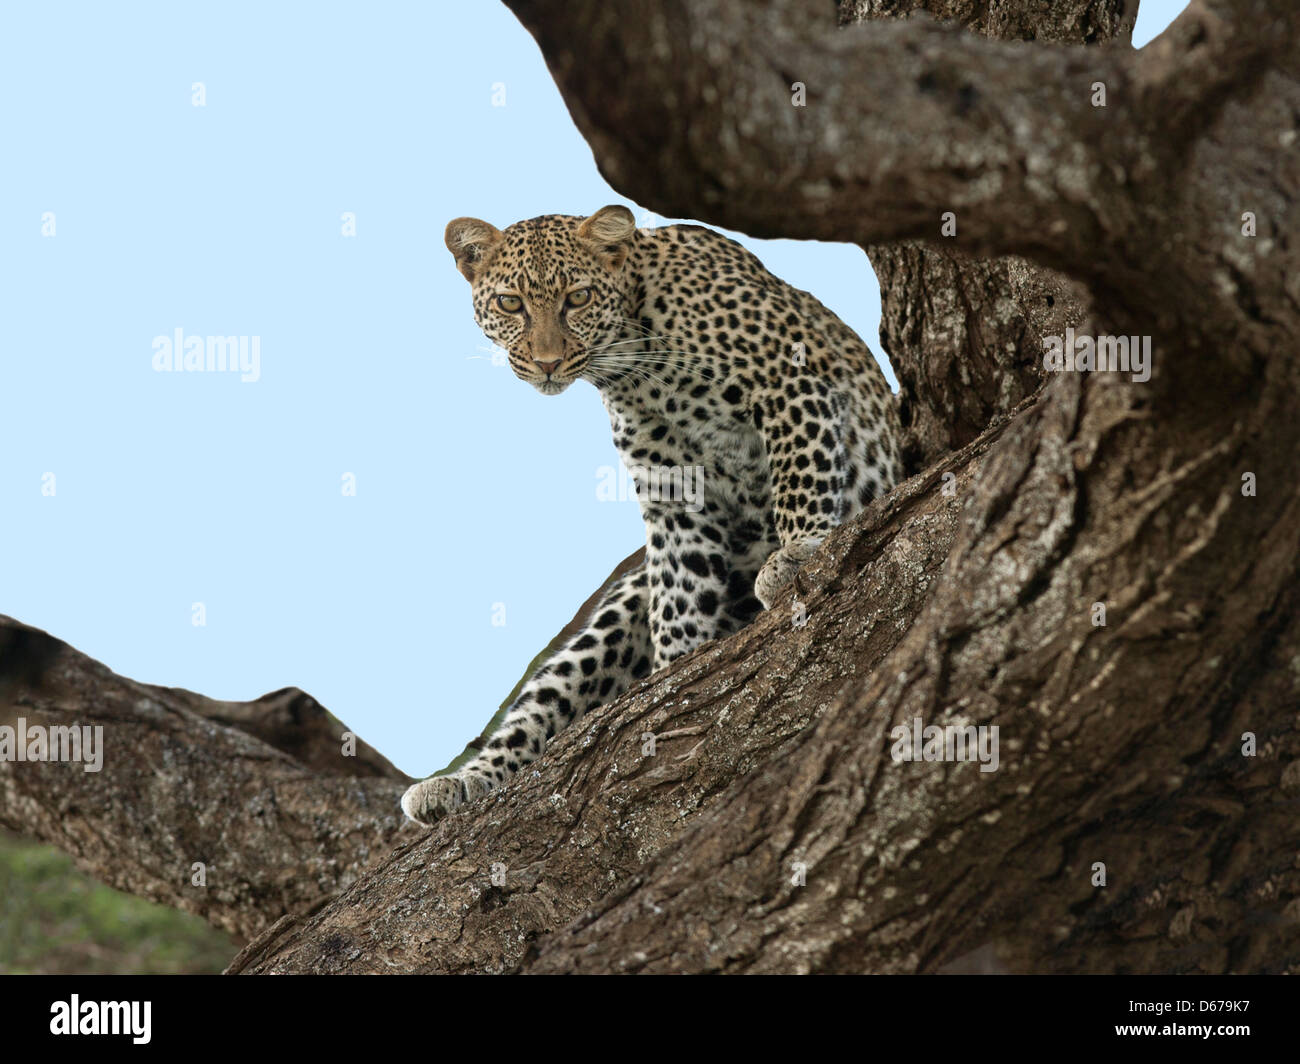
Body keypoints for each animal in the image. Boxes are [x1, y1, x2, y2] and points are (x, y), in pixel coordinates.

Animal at [401, 205, 902, 826]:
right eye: (511, 303)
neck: (633, 364)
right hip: (616, 610)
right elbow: (681, 597)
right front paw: (677, 672)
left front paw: (798, 553)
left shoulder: (790, 382)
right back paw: (457, 785)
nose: (546, 363)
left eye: (578, 297)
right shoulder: (671, 487)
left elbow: (801, 475)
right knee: (539, 708)